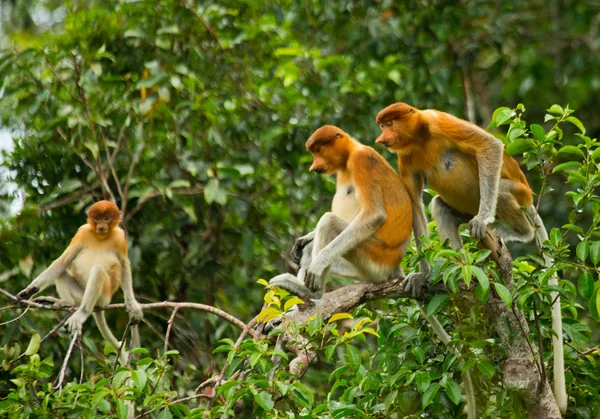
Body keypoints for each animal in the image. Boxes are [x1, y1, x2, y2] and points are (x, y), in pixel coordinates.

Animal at [17, 201, 144, 364]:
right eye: (97, 218)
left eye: (107, 218)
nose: (101, 226)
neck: (100, 237)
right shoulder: (82, 233)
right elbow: (63, 261)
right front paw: (29, 291)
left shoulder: (120, 237)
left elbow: (124, 264)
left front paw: (133, 305)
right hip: (80, 294)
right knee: (62, 270)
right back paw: (66, 303)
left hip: (104, 296)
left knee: (98, 270)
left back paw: (82, 313)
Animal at [376, 101, 568, 414]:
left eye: (389, 123)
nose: (382, 138)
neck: (419, 138)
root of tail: (529, 197)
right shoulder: (406, 158)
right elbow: (415, 206)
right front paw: (423, 275)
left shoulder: (438, 120)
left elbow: (489, 146)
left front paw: (483, 219)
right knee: (439, 206)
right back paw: (459, 268)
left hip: (515, 193)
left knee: (499, 192)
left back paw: (514, 231)